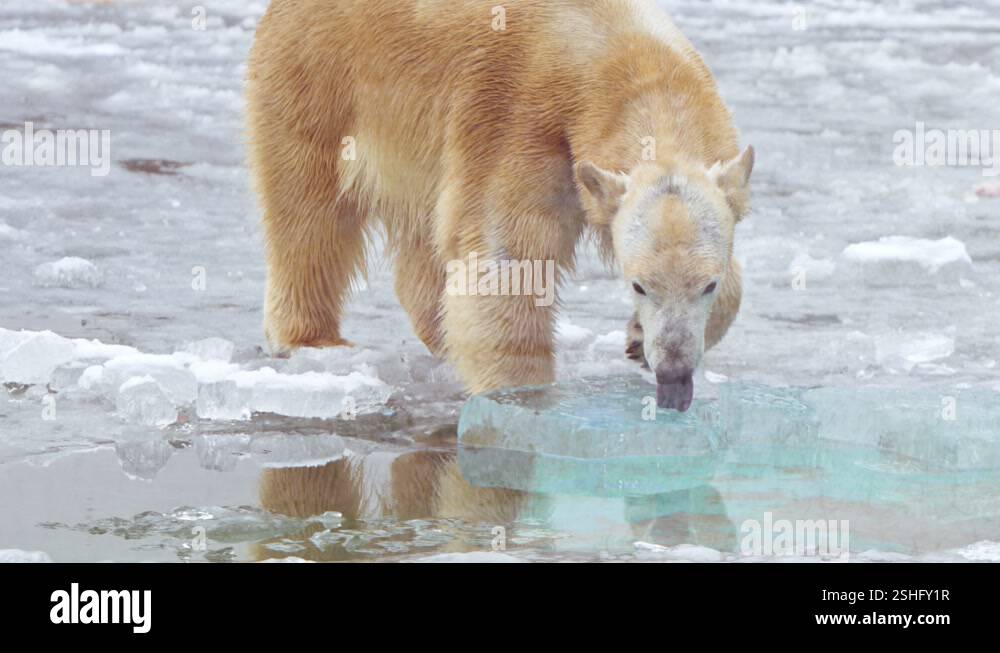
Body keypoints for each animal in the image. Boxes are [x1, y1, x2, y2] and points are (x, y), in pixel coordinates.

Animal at [246, 0, 754, 410]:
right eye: (639, 285)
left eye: (706, 285)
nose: (672, 369)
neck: (629, 62)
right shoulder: (523, 125)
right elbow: (509, 263)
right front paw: (522, 395)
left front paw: (635, 339)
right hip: (320, 77)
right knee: (309, 211)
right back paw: (315, 341)